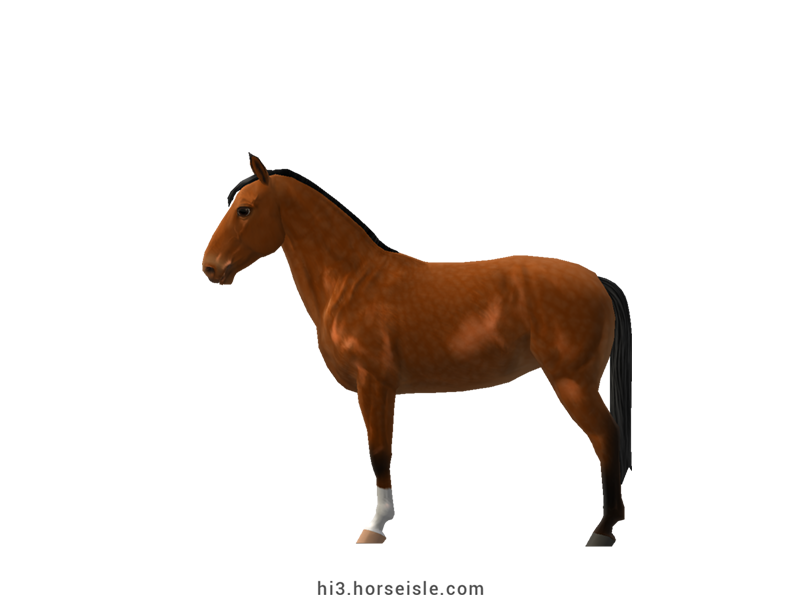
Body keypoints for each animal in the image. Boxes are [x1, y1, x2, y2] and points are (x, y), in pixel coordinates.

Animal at [203, 155, 625, 537]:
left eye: (244, 209)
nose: (210, 267)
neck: (352, 281)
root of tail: (596, 283)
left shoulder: (373, 382)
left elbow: (379, 451)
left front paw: (382, 523)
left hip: (574, 381)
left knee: (606, 436)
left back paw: (606, 526)